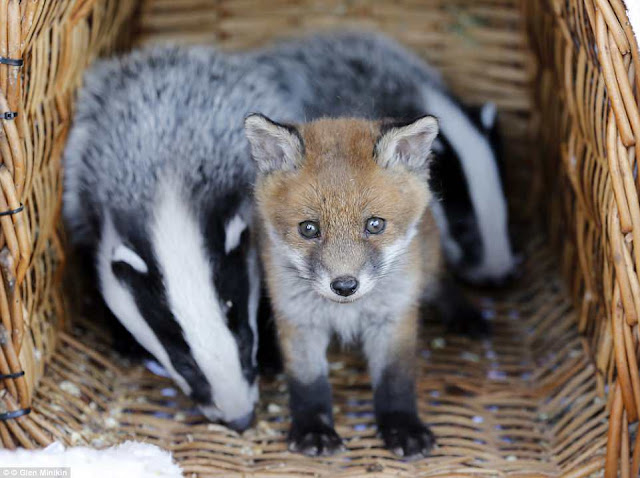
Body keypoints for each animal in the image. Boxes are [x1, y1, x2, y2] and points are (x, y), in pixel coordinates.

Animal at [245, 113, 458, 458]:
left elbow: (395, 381)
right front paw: (314, 431)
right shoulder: (298, 320)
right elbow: (308, 383)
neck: (346, 311)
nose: (344, 285)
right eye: (309, 228)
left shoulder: (394, 317)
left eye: (375, 224)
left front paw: (403, 428)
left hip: (428, 271)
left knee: (443, 284)